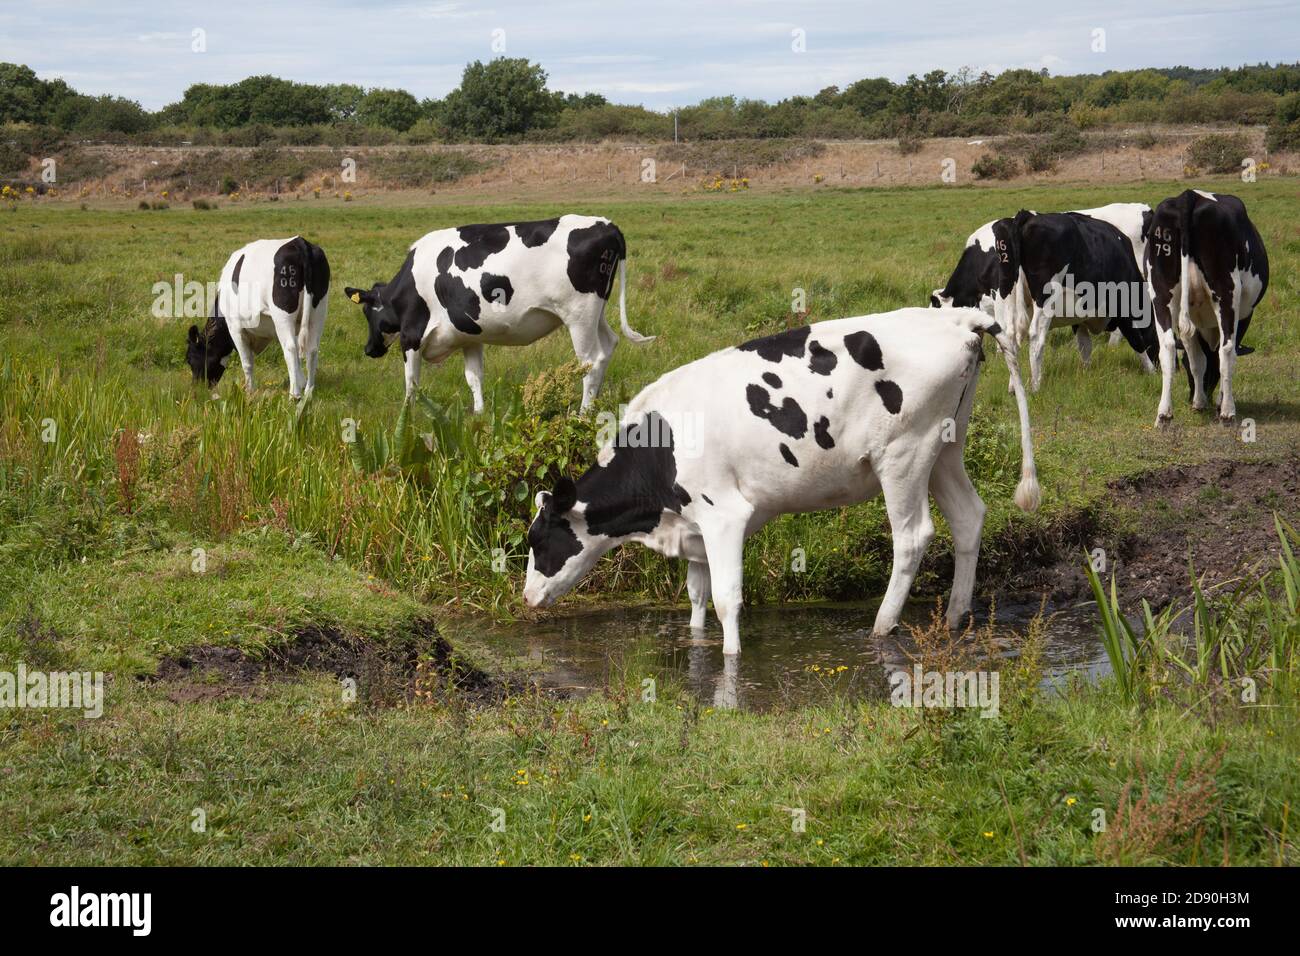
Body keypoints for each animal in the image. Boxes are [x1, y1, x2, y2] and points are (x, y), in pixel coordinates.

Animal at [185, 236, 330, 399]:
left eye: (190, 359)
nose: (196, 390)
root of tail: (299, 242)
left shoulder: (236, 328)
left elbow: (247, 362)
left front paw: (249, 392)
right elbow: (299, 359)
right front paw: (301, 381)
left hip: (282, 315)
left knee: (290, 348)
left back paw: (294, 395)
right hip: (318, 312)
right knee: (312, 350)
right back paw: (308, 393)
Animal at [344, 215, 653, 413]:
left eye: (367, 313)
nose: (368, 349)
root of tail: (607, 224)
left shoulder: (412, 335)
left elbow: (411, 382)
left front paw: (407, 416)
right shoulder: (469, 336)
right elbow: (474, 377)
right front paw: (479, 413)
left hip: (578, 314)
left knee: (590, 360)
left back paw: (584, 412)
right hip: (595, 313)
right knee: (609, 345)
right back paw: (595, 405)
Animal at [522, 307, 1041, 656]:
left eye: (539, 541)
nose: (526, 597)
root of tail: (956, 318)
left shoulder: (723, 515)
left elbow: (727, 600)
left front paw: (730, 660)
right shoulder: (694, 527)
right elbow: (697, 595)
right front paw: (696, 641)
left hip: (903, 455)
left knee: (913, 537)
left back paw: (882, 626)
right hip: (945, 449)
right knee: (969, 517)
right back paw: (954, 618)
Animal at [991, 209, 1159, 391]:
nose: (1162, 365)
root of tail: (1027, 215)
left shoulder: (1079, 319)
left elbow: (1085, 346)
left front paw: (1086, 372)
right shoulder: (1123, 308)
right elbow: (1136, 340)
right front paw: (1152, 373)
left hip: (1008, 293)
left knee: (1011, 336)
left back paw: (1014, 387)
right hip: (1045, 299)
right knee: (1036, 336)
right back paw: (1035, 386)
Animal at [1146, 189, 1268, 427]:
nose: (1189, 396)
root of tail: (1189, 195)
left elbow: (1196, 359)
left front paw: (1198, 401)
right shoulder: (1245, 315)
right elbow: (1225, 356)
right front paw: (1218, 401)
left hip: (1160, 294)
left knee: (1167, 346)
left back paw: (1164, 414)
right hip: (1227, 294)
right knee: (1226, 349)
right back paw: (1227, 412)